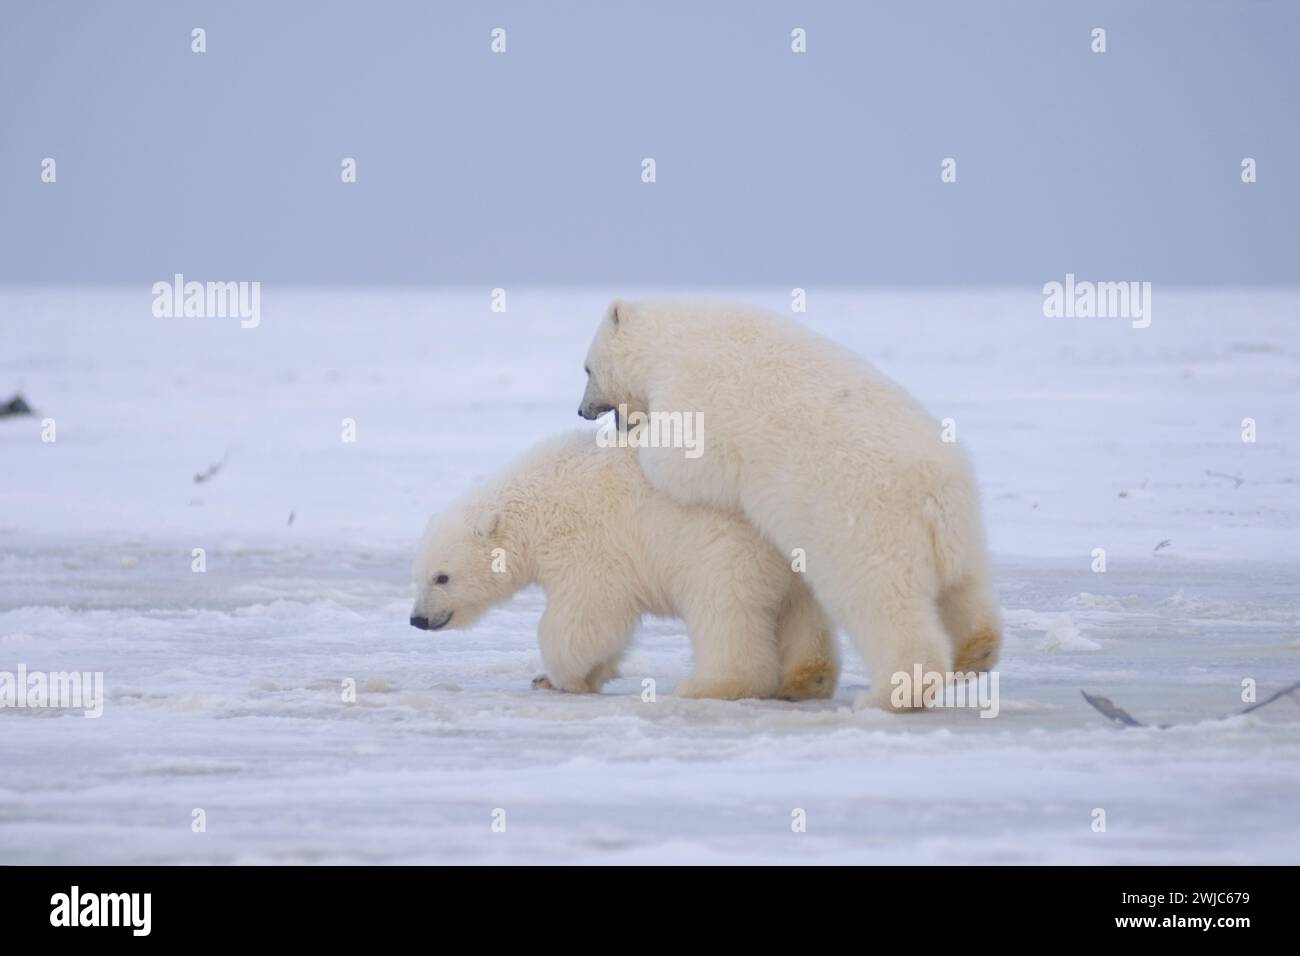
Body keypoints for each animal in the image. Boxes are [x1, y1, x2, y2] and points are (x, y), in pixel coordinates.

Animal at [409, 431, 839, 701]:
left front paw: (561, 677)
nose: (418, 619)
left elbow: (584, 615)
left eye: (442, 577)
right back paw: (809, 680)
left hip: (724, 551)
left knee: (724, 611)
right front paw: (572, 675)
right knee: (804, 613)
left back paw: (712, 685)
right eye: (418, 576)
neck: (536, 503)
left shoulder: (587, 544)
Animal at [577, 299, 1002, 709]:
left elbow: (681, 459)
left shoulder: (694, 391)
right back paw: (976, 651)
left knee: (883, 606)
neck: (673, 340)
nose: (582, 410)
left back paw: (890, 693)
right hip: (964, 527)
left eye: (586, 369)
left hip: (865, 532)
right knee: (966, 589)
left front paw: (644, 437)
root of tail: (935, 496)